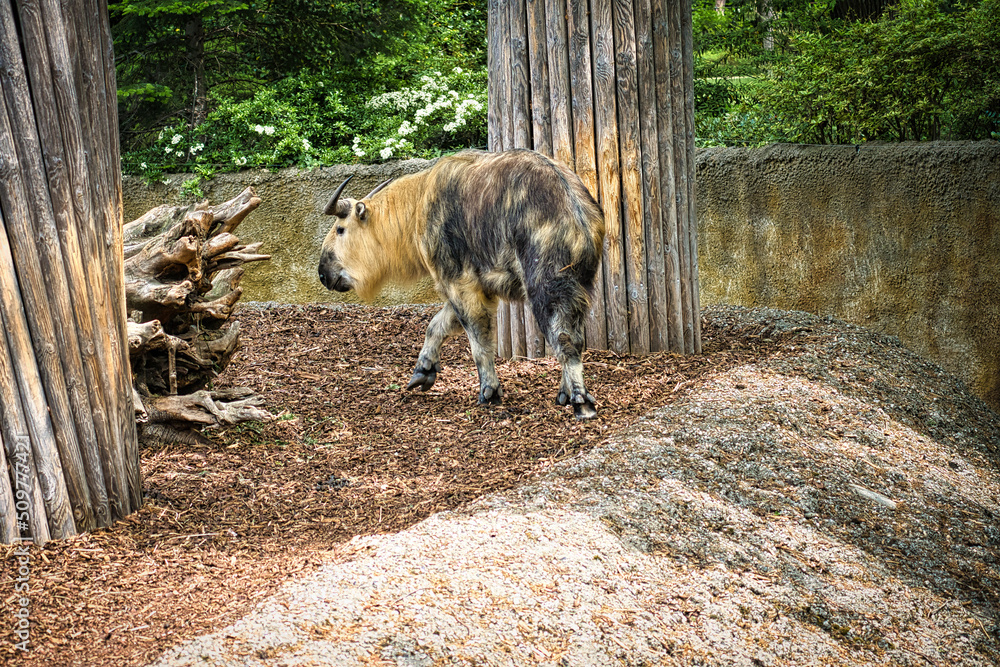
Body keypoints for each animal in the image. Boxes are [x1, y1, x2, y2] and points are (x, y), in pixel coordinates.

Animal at [318, 149, 605, 419]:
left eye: (340, 229)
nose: (322, 274)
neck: (419, 203)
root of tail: (575, 206)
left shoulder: (459, 283)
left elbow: (478, 341)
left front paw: (489, 391)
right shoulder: (478, 289)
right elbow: (436, 326)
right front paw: (423, 369)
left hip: (547, 285)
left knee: (565, 339)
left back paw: (580, 399)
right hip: (580, 286)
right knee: (574, 335)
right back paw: (565, 392)